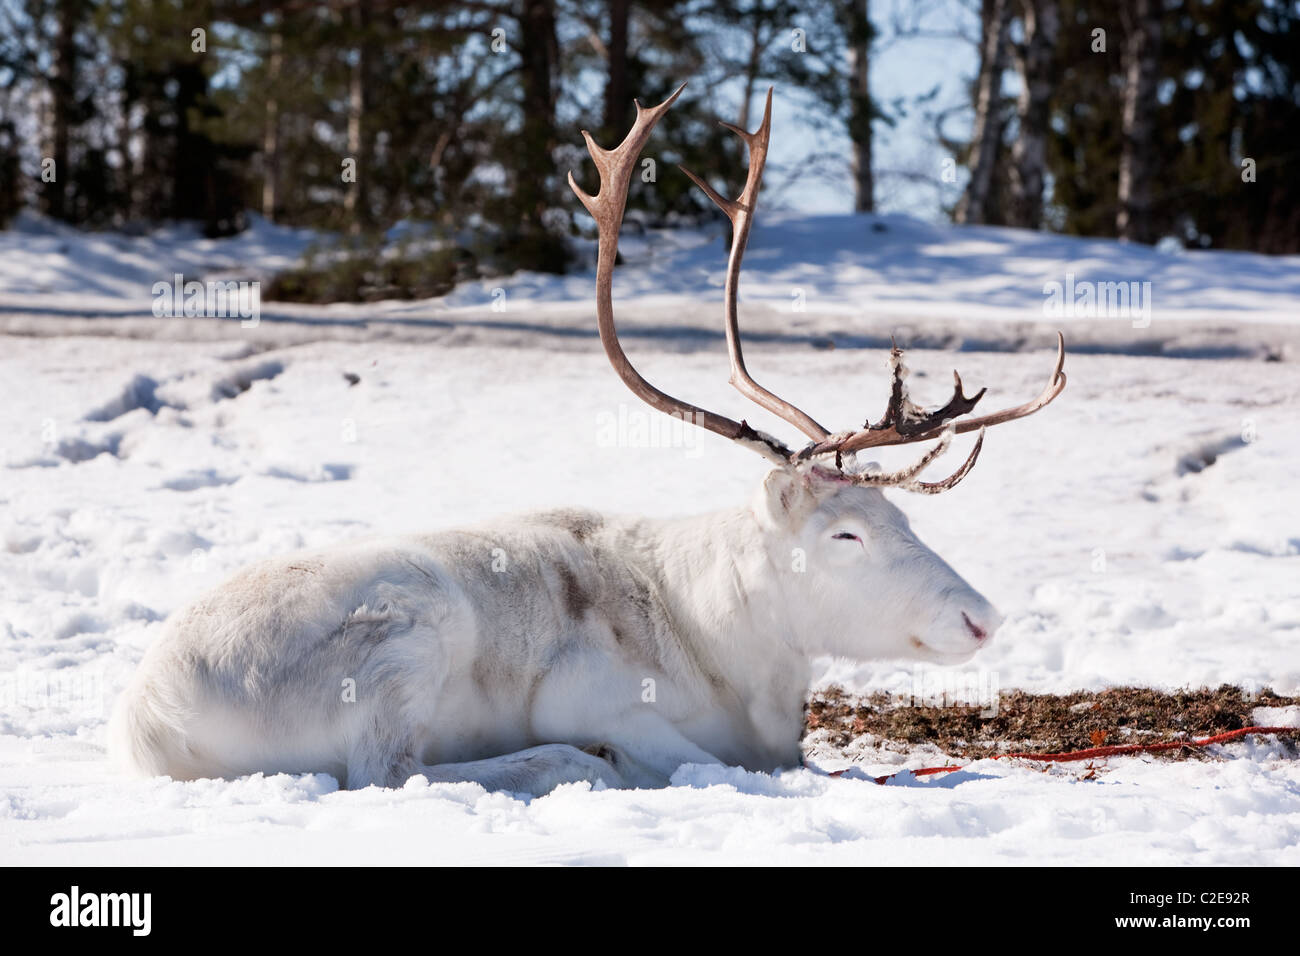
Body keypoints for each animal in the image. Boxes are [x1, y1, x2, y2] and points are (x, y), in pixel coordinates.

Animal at [109, 85, 1066, 795]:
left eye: (906, 521)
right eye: (846, 535)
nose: (982, 617)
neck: (733, 649)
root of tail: (150, 723)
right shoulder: (591, 695)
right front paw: (613, 759)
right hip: (406, 634)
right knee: (390, 771)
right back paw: (569, 766)